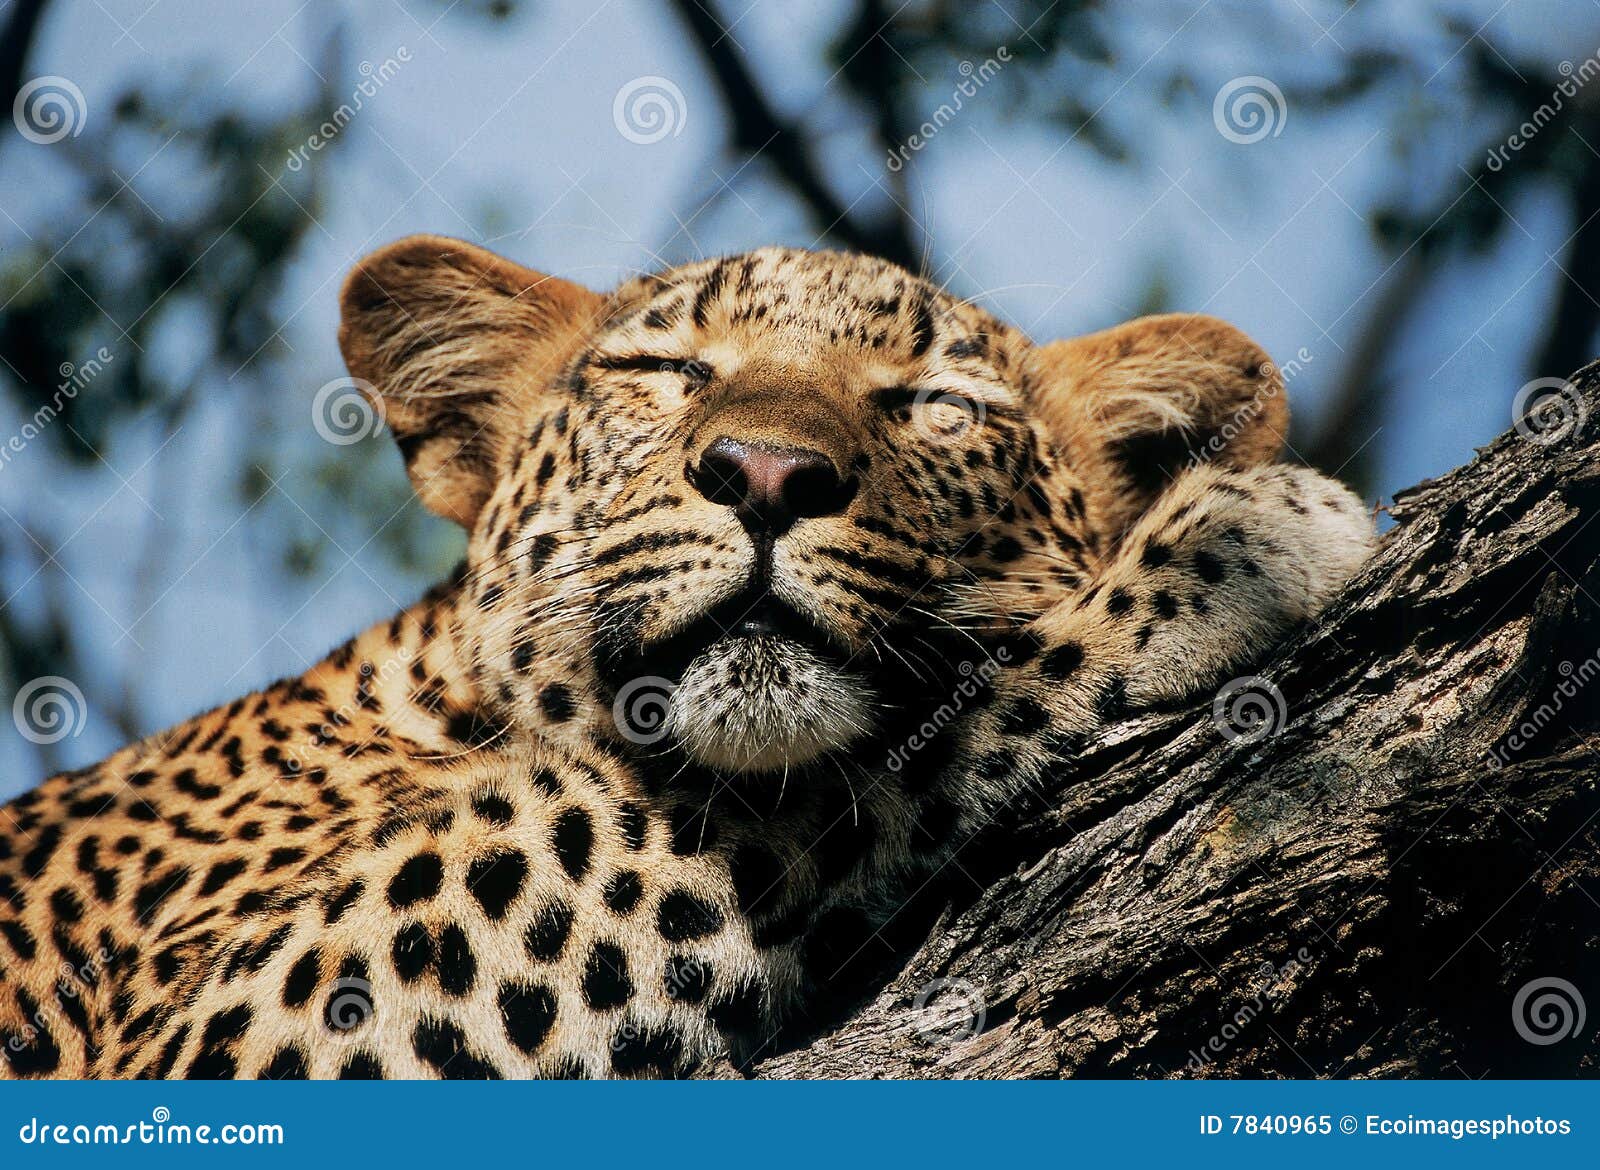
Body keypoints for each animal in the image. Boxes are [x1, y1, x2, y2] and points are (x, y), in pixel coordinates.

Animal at [0, 238, 1375, 1079]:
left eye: (933, 404)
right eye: (667, 372)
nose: (766, 473)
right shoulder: (237, 1030)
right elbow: (879, 738)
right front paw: (1226, 550)